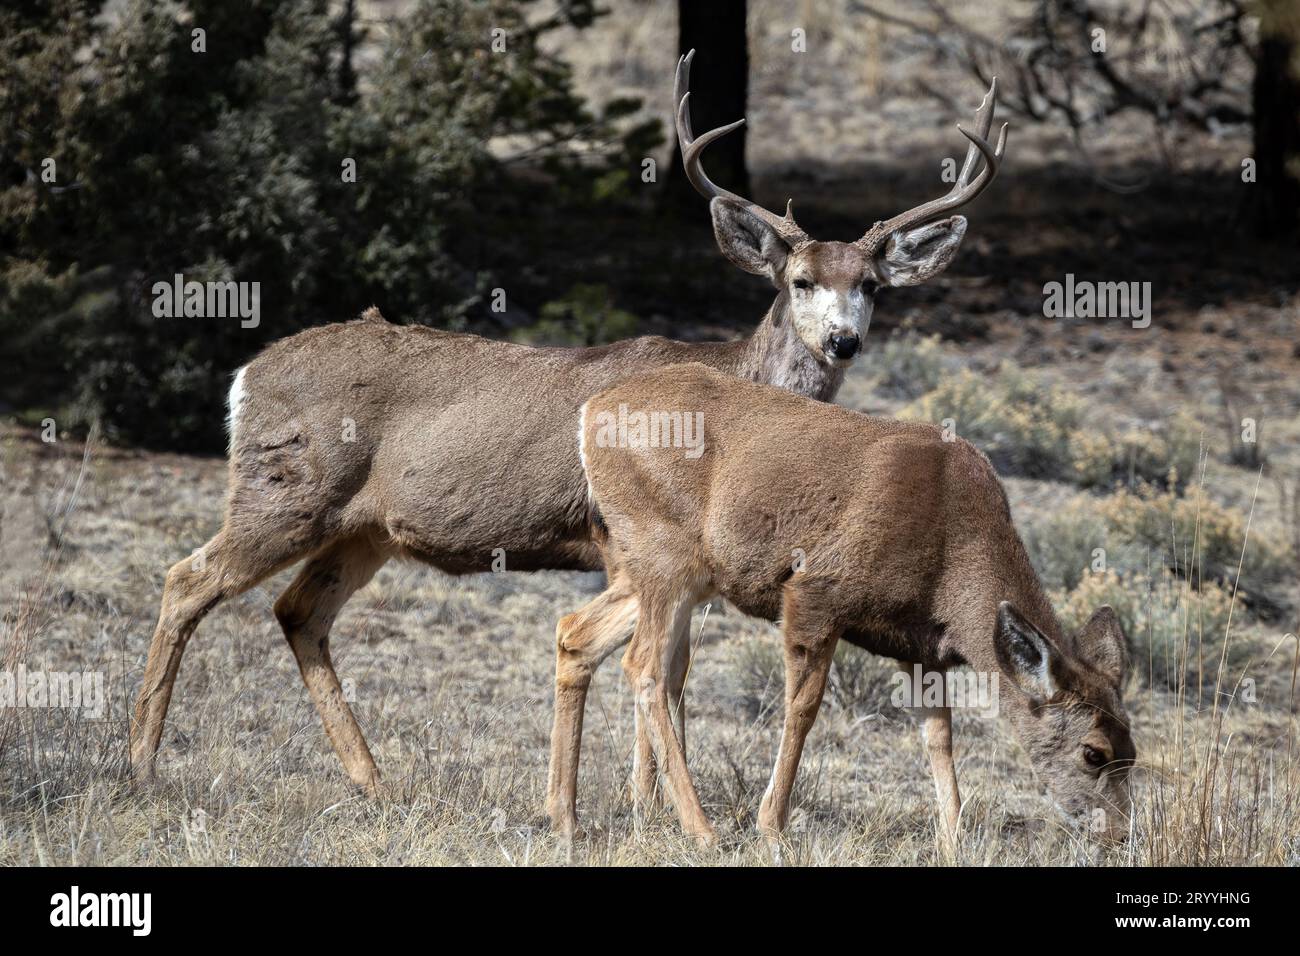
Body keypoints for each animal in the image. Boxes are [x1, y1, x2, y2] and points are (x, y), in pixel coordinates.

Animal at [129, 51, 1005, 801]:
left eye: (872, 286)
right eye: (799, 280)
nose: (842, 341)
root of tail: (246, 377)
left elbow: (669, 666)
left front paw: (641, 804)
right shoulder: (630, 541)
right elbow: (666, 670)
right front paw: (649, 807)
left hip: (363, 528)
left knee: (297, 613)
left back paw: (374, 781)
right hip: (285, 489)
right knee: (187, 580)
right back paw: (140, 763)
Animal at [549, 362, 1136, 848]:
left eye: (1134, 752)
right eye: (1094, 752)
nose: (1119, 836)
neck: (954, 560)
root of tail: (589, 413)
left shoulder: (920, 646)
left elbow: (940, 736)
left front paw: (954, 835)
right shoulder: (815, 590)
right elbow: (804, 709)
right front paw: (772, 824)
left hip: (669, 571)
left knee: (575, 633)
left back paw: (564, 817)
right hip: (663, 551)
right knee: (644, 666)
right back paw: (702, 830)